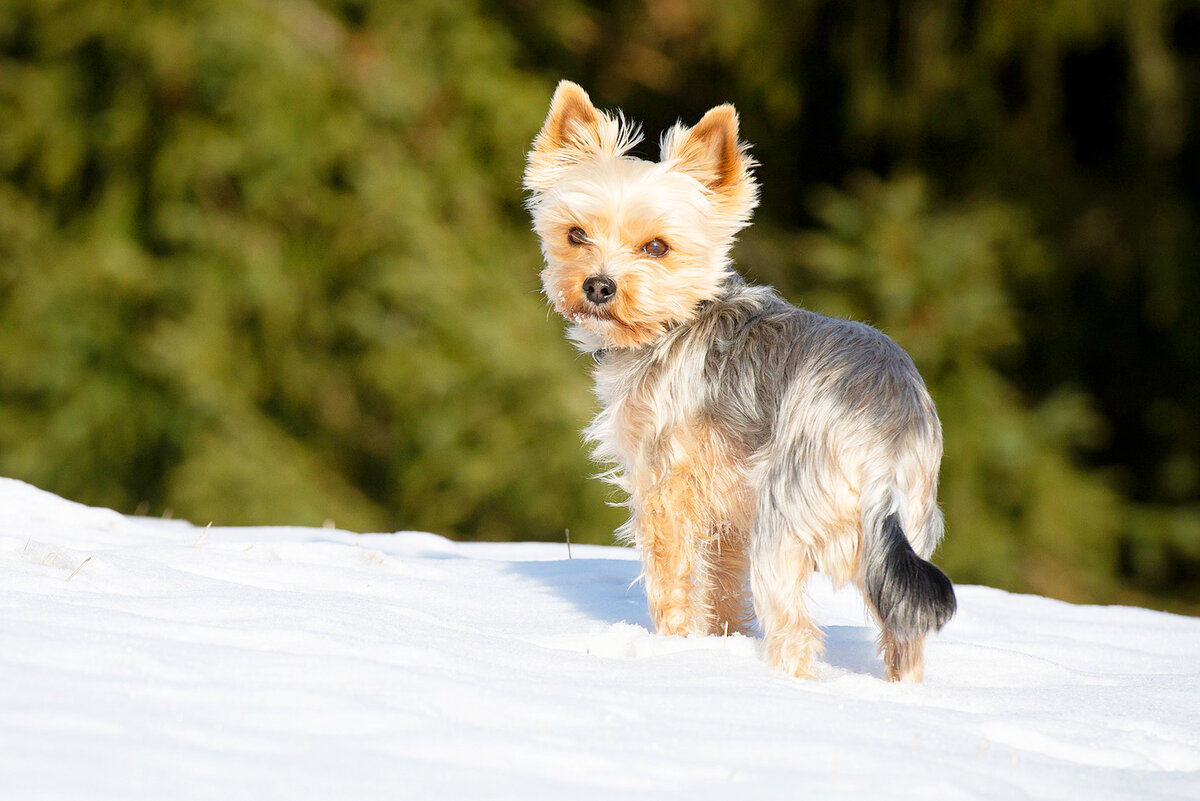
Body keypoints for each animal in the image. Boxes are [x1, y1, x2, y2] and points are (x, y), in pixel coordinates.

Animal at [525, 81, 955, 681]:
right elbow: (722, 587)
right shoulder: (727, 506)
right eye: (575, 235)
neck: (676, 319)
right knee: (904, 634)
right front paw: (720, 642)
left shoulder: (665, 490)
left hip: (781, 526)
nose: (598, 286)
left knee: (795, 630)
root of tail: (883, 446)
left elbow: (673, 583)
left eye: (656, 247)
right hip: (902, 533)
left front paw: (672, 647)